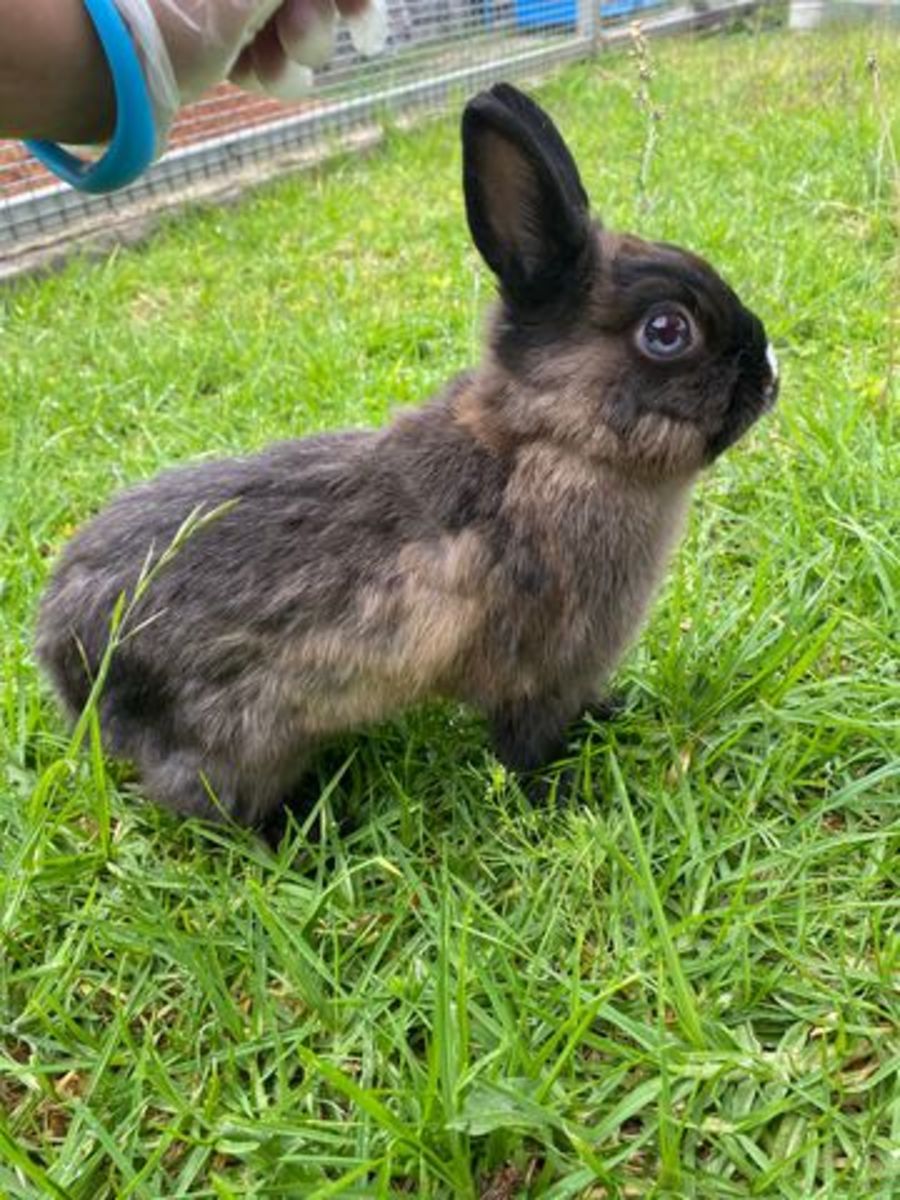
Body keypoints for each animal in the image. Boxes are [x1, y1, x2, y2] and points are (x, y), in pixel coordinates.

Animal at [36, 82, 779, 827]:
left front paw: (610, 712)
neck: (548, 441)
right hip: (233, 743)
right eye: (666, 331)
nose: (770, 373)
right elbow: (525, 744)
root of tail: (63, 656)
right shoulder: (535, 673)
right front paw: (560, 799)